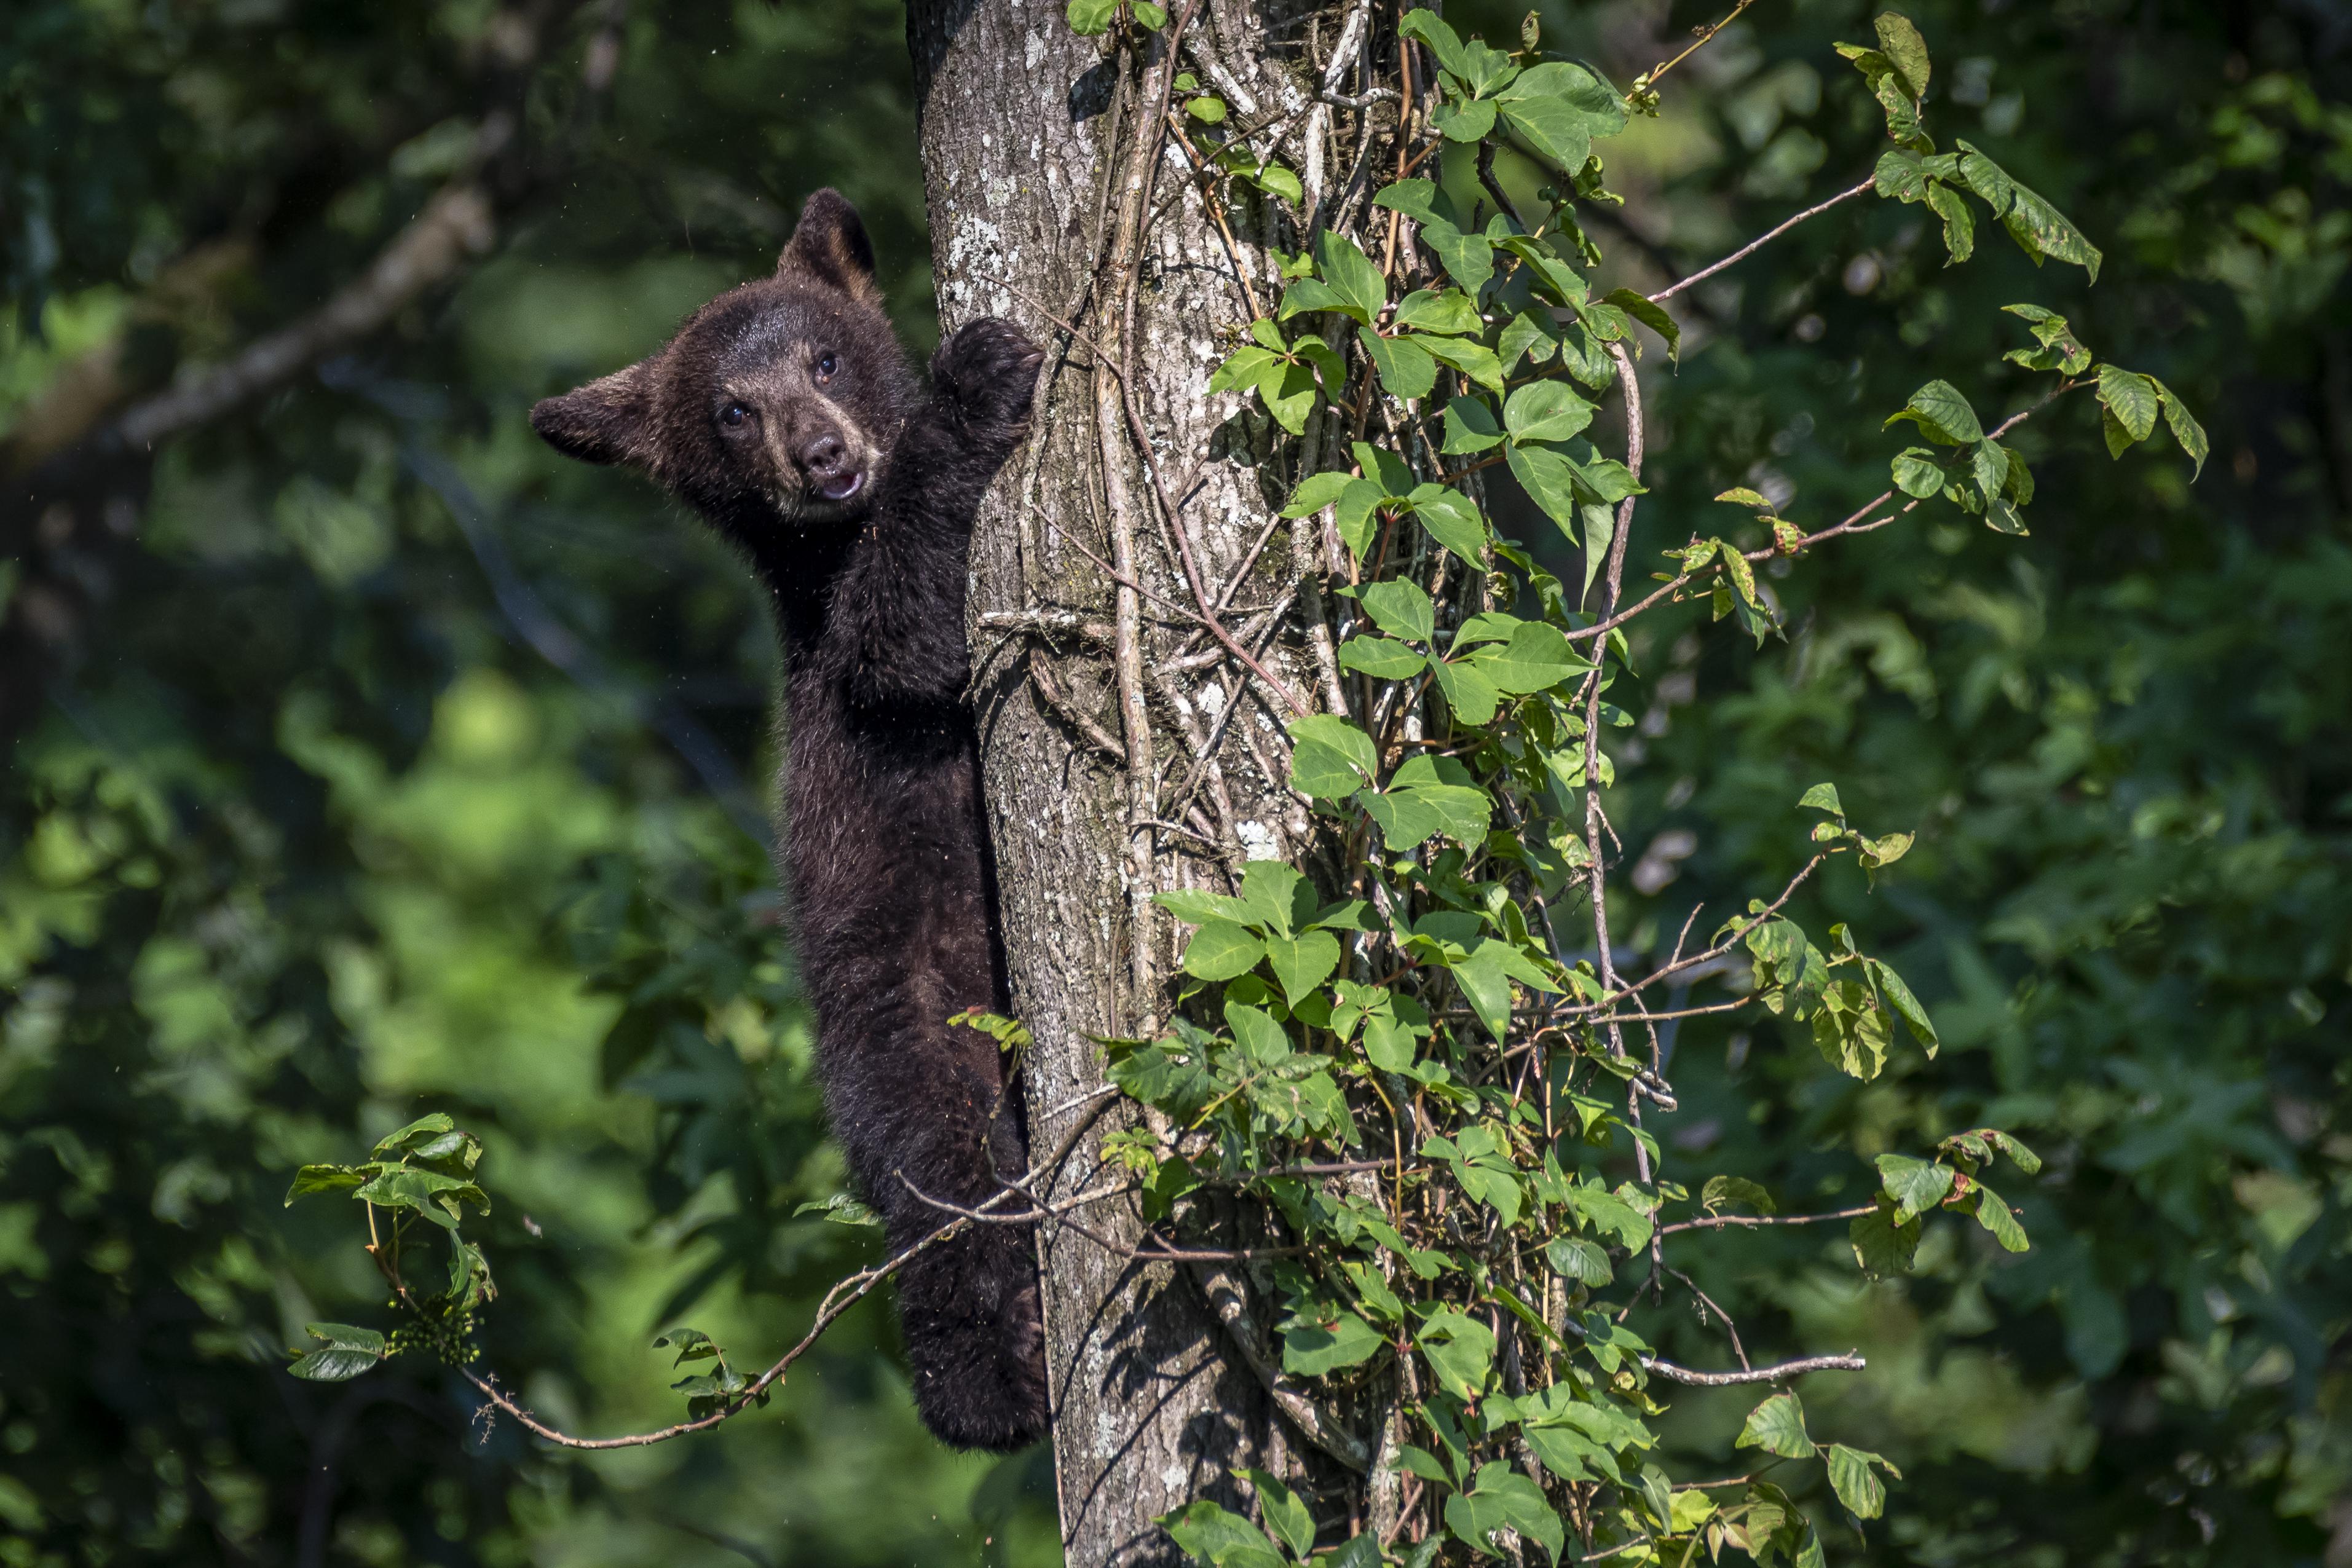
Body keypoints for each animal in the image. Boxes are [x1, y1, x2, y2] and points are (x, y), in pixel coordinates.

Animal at [530, 189, 1049, 1452]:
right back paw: (990, 1381)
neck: (826, 545)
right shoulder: (844, 652)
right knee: (943, 1187)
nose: (823, 455)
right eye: (731, 411)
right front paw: (976, 377)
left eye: (824, 356)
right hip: (906, 1030)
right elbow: (907, 639)